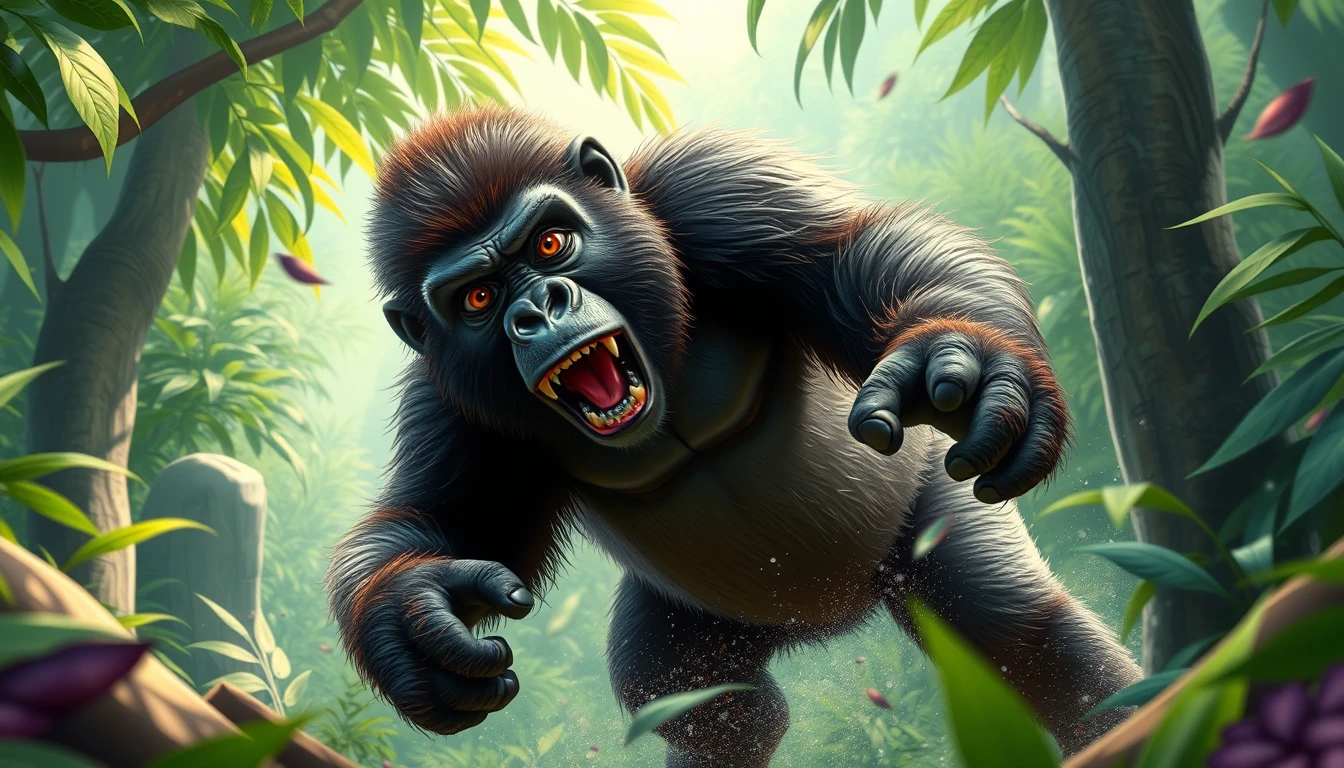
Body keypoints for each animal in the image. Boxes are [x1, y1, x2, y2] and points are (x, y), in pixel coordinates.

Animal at [326, 106, 1142, 767]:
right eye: (477, 298)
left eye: (552, 244)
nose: (536, 310)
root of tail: (837, 619)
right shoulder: (448, 401)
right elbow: (443, 521)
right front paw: (412, 621)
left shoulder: (716, 193)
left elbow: (852, 253)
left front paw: (970, 356)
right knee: (714, 714)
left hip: (925, 509)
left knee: (1019, 633)